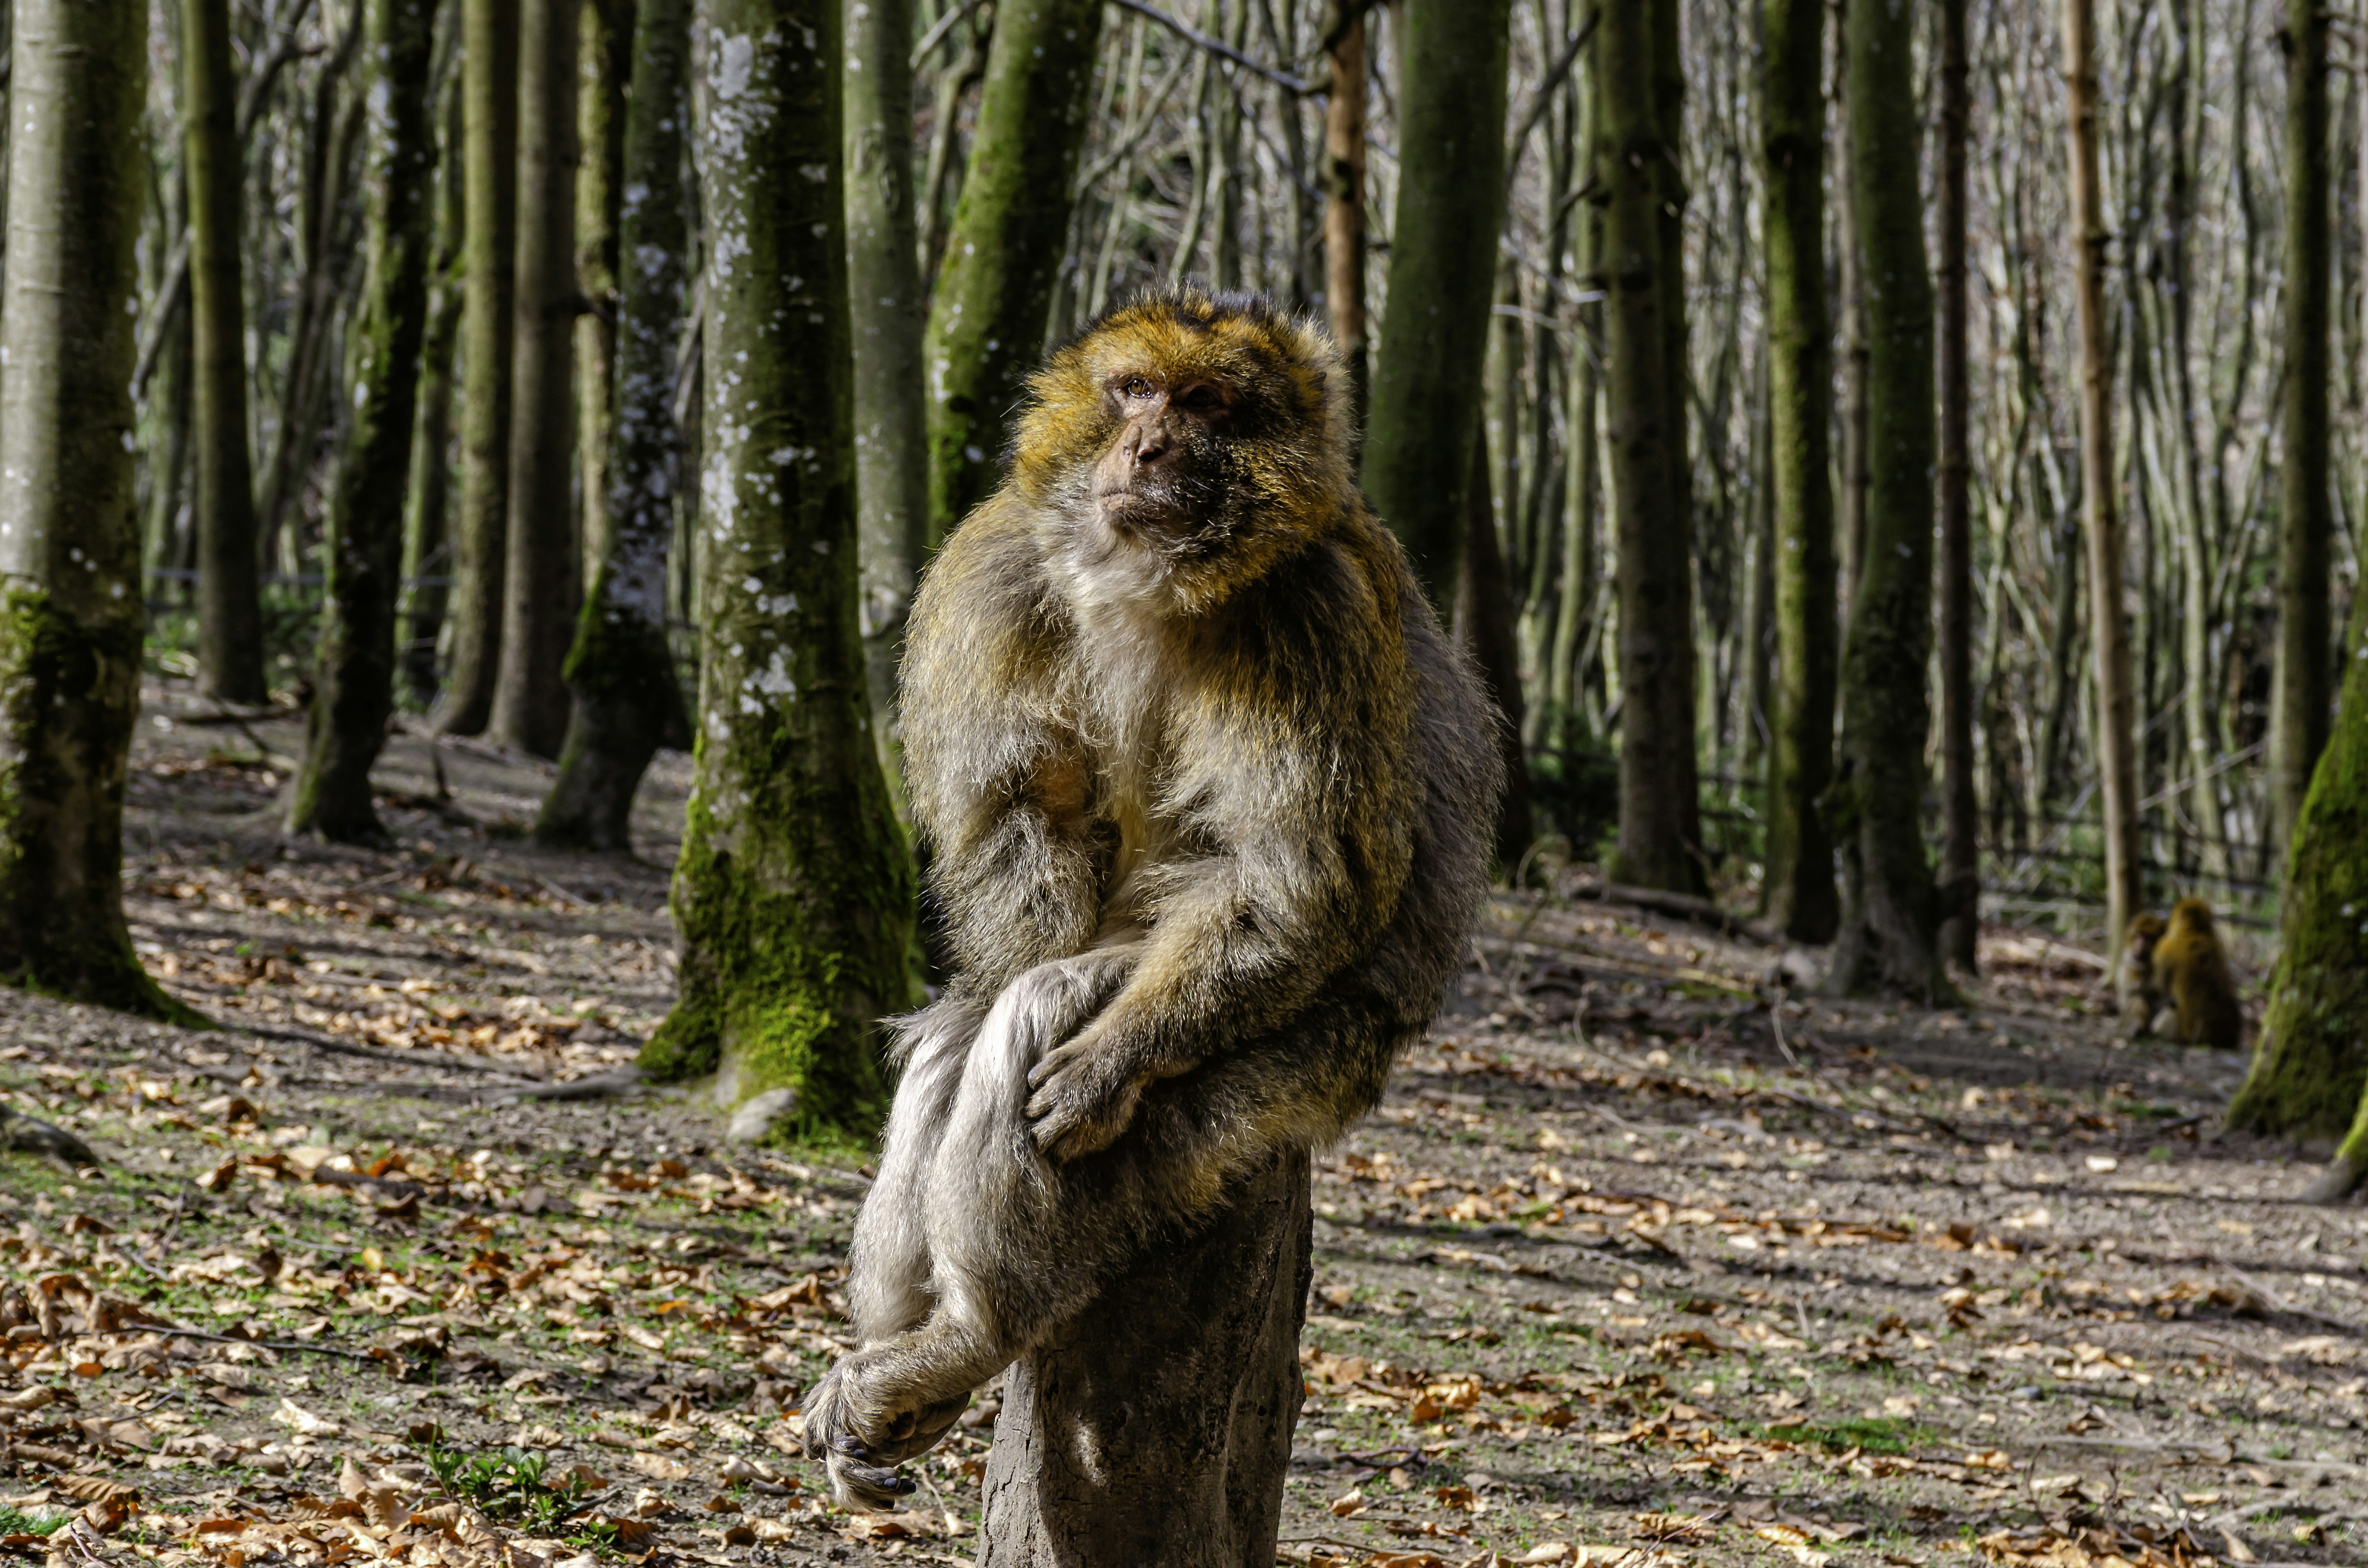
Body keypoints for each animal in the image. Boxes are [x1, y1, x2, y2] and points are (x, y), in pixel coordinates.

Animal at [798, 287, 1501, 1510]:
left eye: (1209, 403)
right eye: (1133, 391)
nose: (1149, 446)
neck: (1152, 583)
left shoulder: (1307, 618)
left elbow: (1296, 882)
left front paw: (1105, 1063)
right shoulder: (1000, 571)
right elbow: (1019, 818)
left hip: (1270, 1084)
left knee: (1048, 1012)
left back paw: (976, 1330)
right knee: (973, 1023)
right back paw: (921, 1363)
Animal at [2116, 911, 2167, 1031]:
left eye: (2148, 938)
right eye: (2138, 936)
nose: (2140, 945)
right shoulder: (2129, 960)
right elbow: (2130, 989)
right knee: (2135, 996)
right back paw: (2139, 1025)